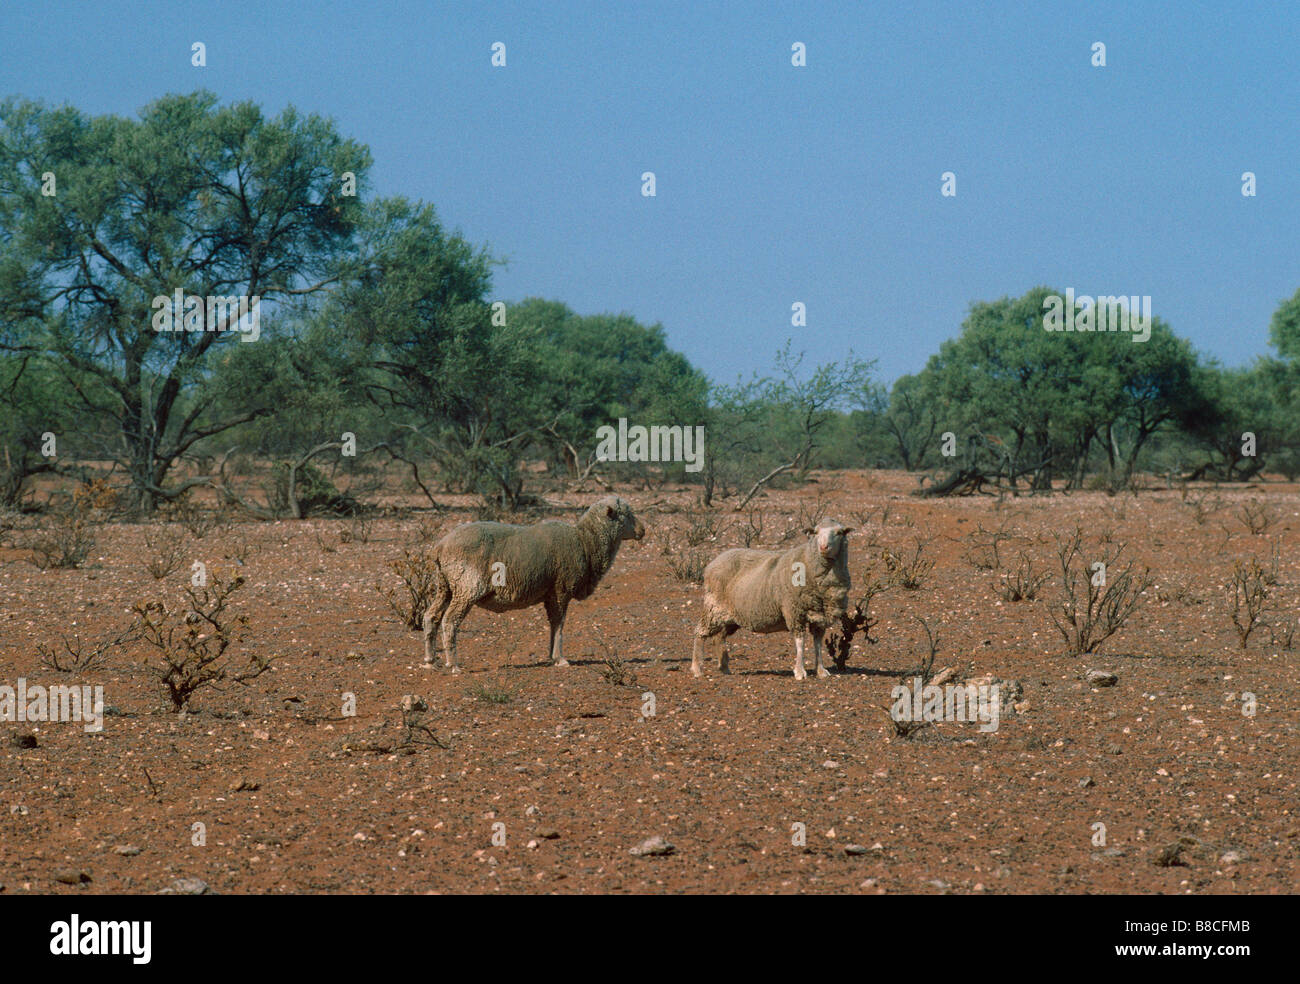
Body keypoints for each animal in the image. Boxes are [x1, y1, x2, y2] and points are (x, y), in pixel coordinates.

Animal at [422, 495, 645, 672]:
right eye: (626, 514)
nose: (643, 530)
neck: (586, 542)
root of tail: (440, 547)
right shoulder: (561, 590)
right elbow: (559, 623)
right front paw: (559, 659)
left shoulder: (550, 594)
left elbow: (553, 623)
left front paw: (552, 656)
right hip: (467, 588)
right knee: (450, 621)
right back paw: (453, 664)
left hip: (445, 587)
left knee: (431, 616)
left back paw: (430, 660)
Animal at [691, 522, 853, 680]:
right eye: (816, 532)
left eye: (839, 533)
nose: (824, 547)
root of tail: (712, 563)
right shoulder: (794, 611)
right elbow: (800, 643)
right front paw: (800, 672)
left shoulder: (820, 616)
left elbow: (818, 644)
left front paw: (821, 670)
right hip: (714, 607)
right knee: (700, 633)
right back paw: (697, 668)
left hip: (731, 616)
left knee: (719, 637)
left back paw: (724, 667)